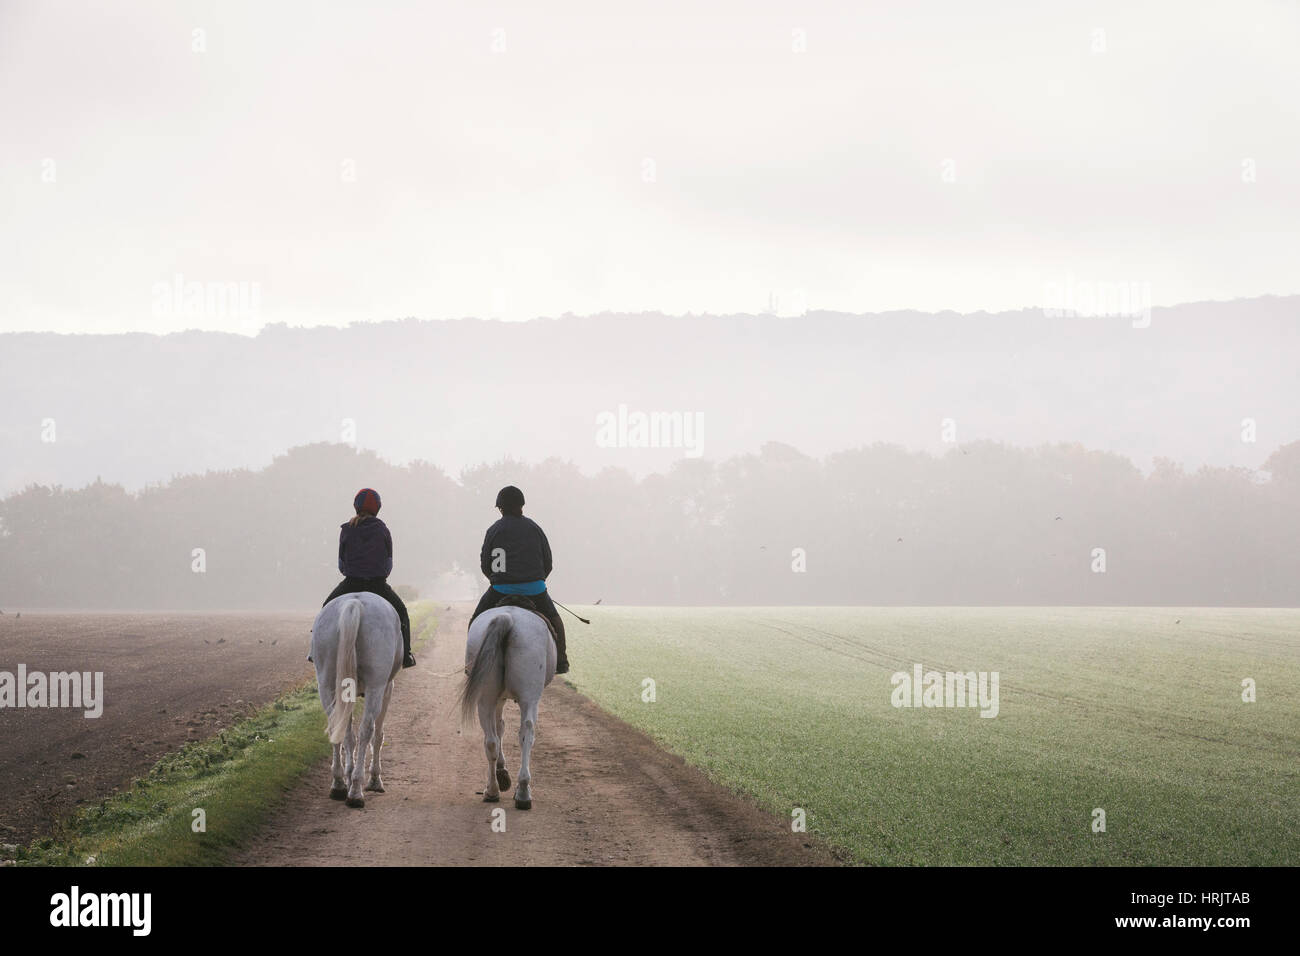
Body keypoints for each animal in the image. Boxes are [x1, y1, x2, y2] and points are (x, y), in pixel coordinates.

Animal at [310, 592, 402, 808]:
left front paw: (347, 773)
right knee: (367, 730)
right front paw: (375, 779)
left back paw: (339, 784)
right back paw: (356, 791)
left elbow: (347, 734)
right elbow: (377, 735)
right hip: (376, 686)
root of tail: (354, 602)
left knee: (337, 727)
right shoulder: (387, 687)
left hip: (326, 684)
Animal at [458, 605, 556, 809]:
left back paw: (493, 791)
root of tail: (508, 617)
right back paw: (522, 791)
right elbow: (503, 727)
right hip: (529, 697)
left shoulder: (498, 698)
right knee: (527, 733)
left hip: (485, 698)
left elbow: (499, 728)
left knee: (491, 741)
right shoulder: (502, 698)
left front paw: (501, 772)